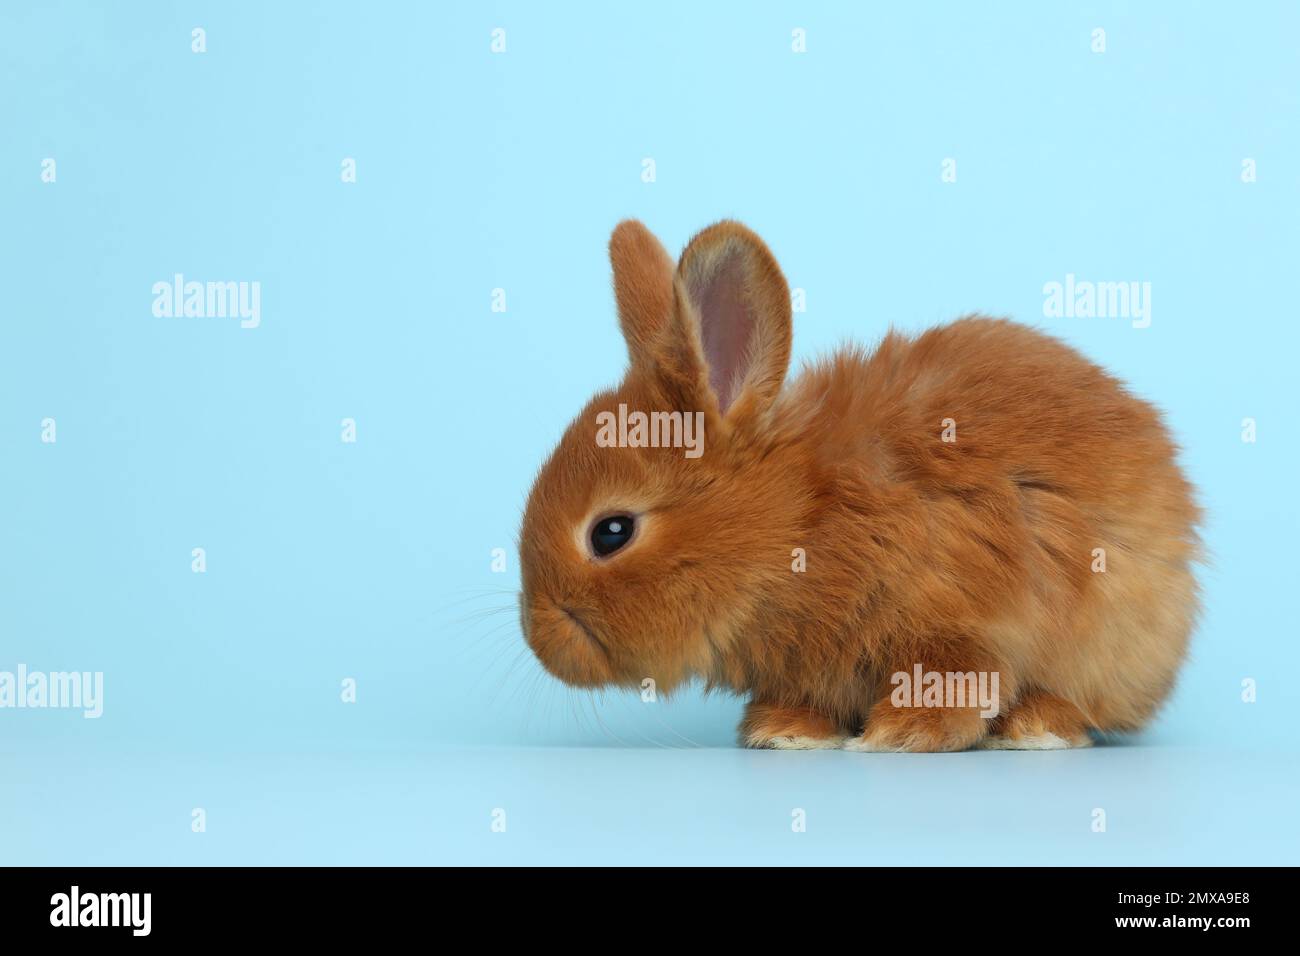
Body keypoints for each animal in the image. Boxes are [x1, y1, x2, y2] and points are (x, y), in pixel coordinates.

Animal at [517, 219, 1201, 752]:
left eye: (611, 532)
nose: (539, 640)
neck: (796, 524)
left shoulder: (954, 622)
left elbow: (958, 683)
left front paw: (899, 734)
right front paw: (785, 731)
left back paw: (1036, 727)